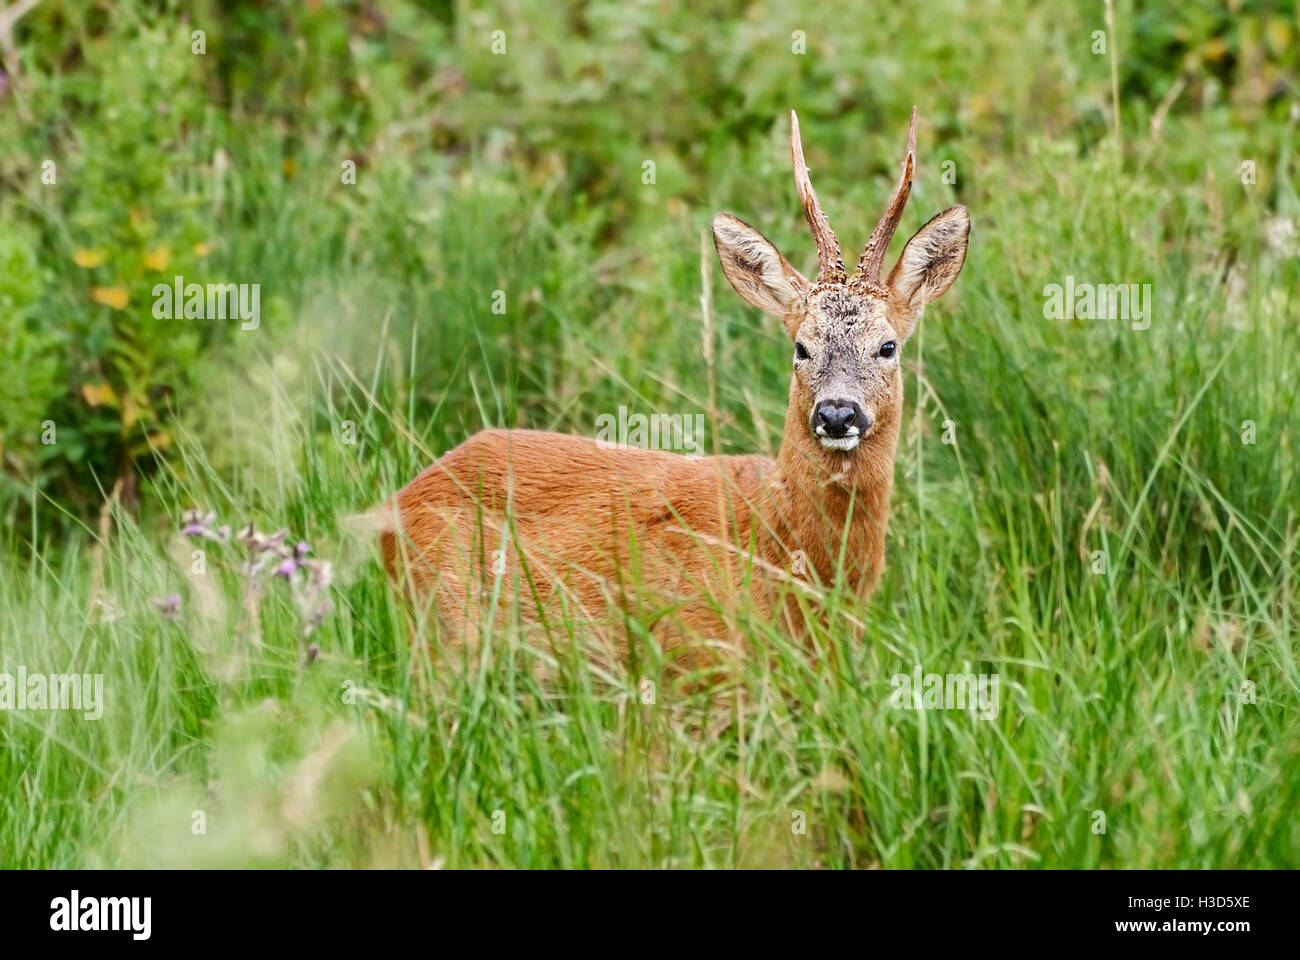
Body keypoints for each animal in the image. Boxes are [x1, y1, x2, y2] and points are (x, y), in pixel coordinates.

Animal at [378, 108, 969, 673]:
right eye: (801, 348)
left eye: (887, 347)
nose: (837, 414)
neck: (778, 543)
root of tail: (395, 506)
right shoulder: (694, 657)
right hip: (448, 629)